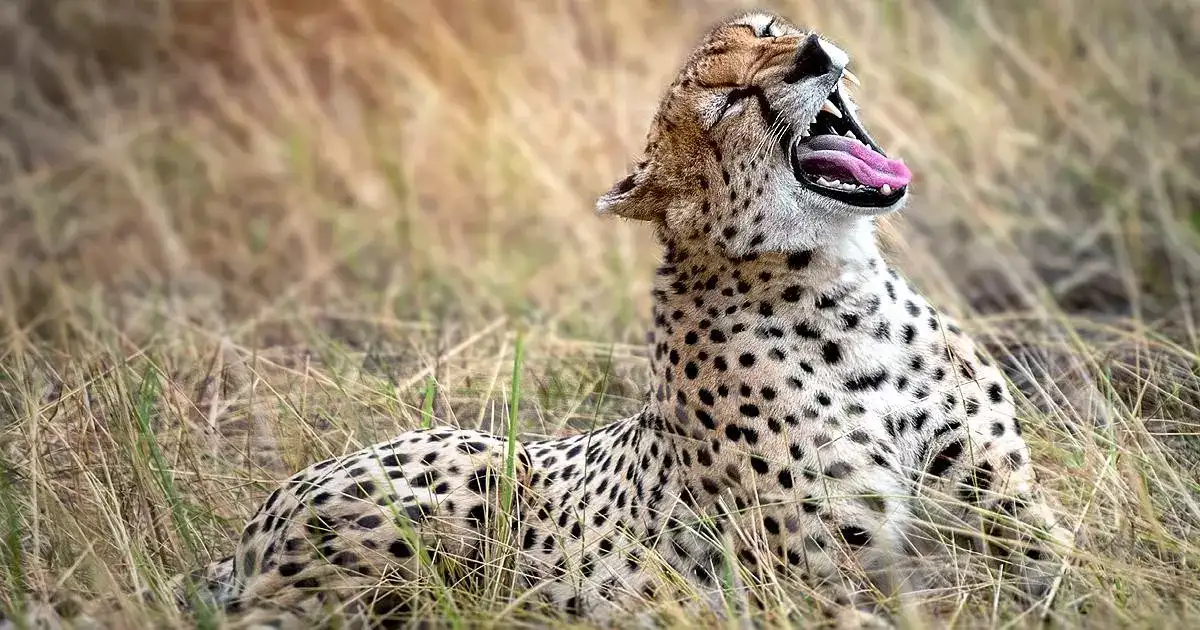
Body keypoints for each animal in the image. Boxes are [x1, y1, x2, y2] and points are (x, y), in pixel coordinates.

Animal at [166, 10, 1076, 629]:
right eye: (731, 101)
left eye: (768, 29)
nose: (816, 53)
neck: (842, 288)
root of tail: (247, 533)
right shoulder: (822, 585)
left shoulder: (1004, 508)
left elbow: (1069, 567)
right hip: (464, 476)